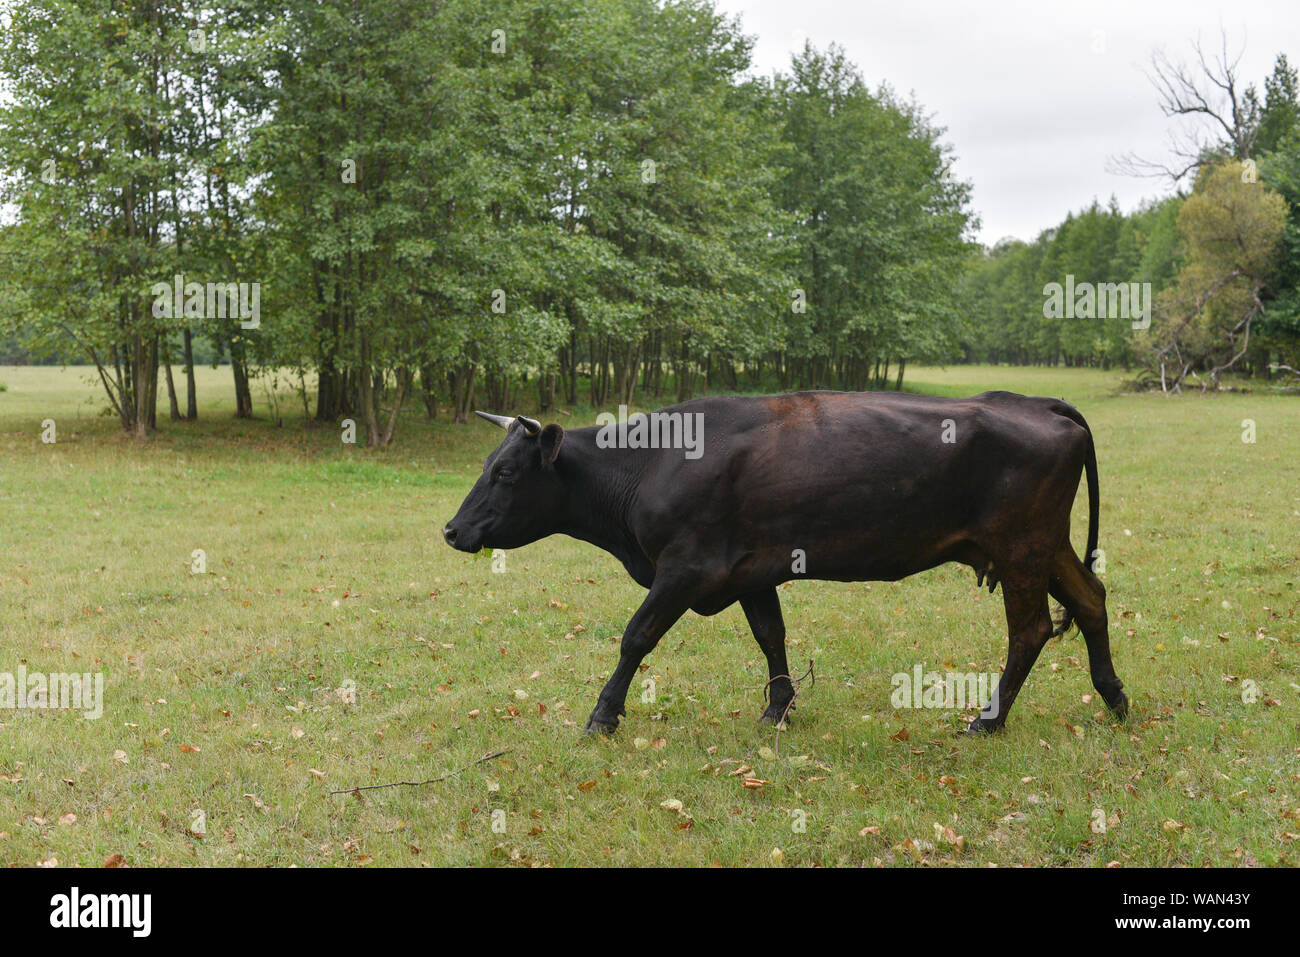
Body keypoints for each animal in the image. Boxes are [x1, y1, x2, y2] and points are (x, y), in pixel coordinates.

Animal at [443, 390, 1129, 735]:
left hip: (1020, 548)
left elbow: (635, 637)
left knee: (1030, 630)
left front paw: (602, 716)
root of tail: (1036, 403)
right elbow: (770, 635)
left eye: (505, 473)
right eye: (487, 465)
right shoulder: (750, 570)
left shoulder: (686, 568)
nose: (452, 530)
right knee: (1091, 599)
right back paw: (1114, 698)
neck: (652, 461)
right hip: (1044, 545)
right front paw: (778, 708)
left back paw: (989, 719)